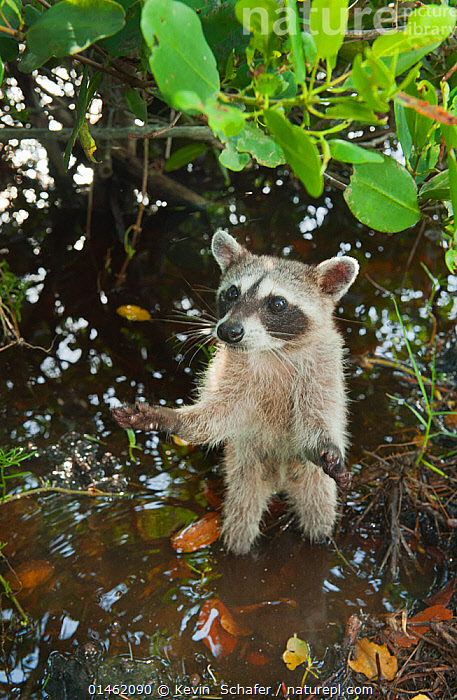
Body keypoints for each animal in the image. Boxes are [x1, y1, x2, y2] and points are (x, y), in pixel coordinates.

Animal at [113, 231, 359, 555]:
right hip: (244, 469)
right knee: (242, 514)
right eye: (232, 293)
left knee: (318, 512)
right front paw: (170, 419)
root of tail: (279, 481)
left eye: (277, 303)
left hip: (309, 479)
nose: (228, 331)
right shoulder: (231, 371)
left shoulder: (323, 367)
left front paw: (327, 448)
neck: (272, 350)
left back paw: (320, 538)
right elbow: (216, 417)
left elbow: (317, 418)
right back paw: (238, 547)